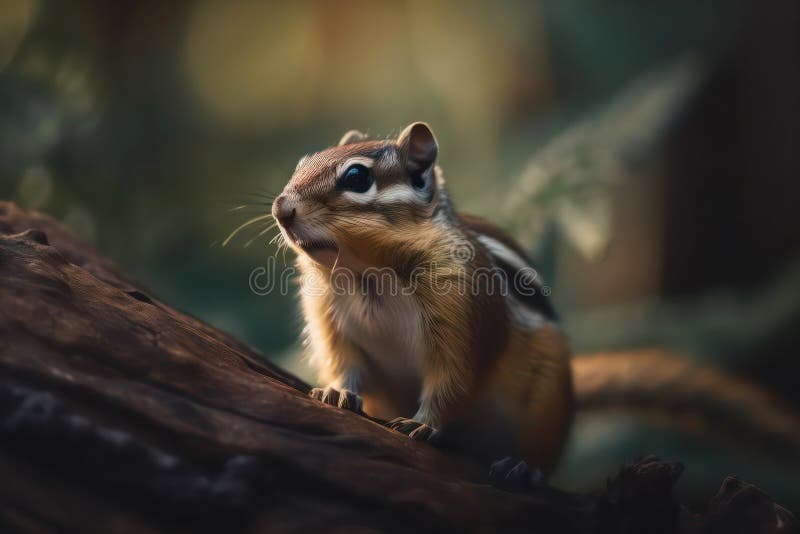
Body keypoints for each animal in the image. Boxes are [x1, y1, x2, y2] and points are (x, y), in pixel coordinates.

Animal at [271, 122, 800, 487]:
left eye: (357, 177)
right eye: (301, 163)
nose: (281, 207)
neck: (368, 273)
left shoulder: (465, 311)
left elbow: (455, 377)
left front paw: (423, 424)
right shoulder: (330, 320)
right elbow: (345, 363)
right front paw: (338, 393)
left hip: (545, 403)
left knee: (542, 456)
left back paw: (521, 468)